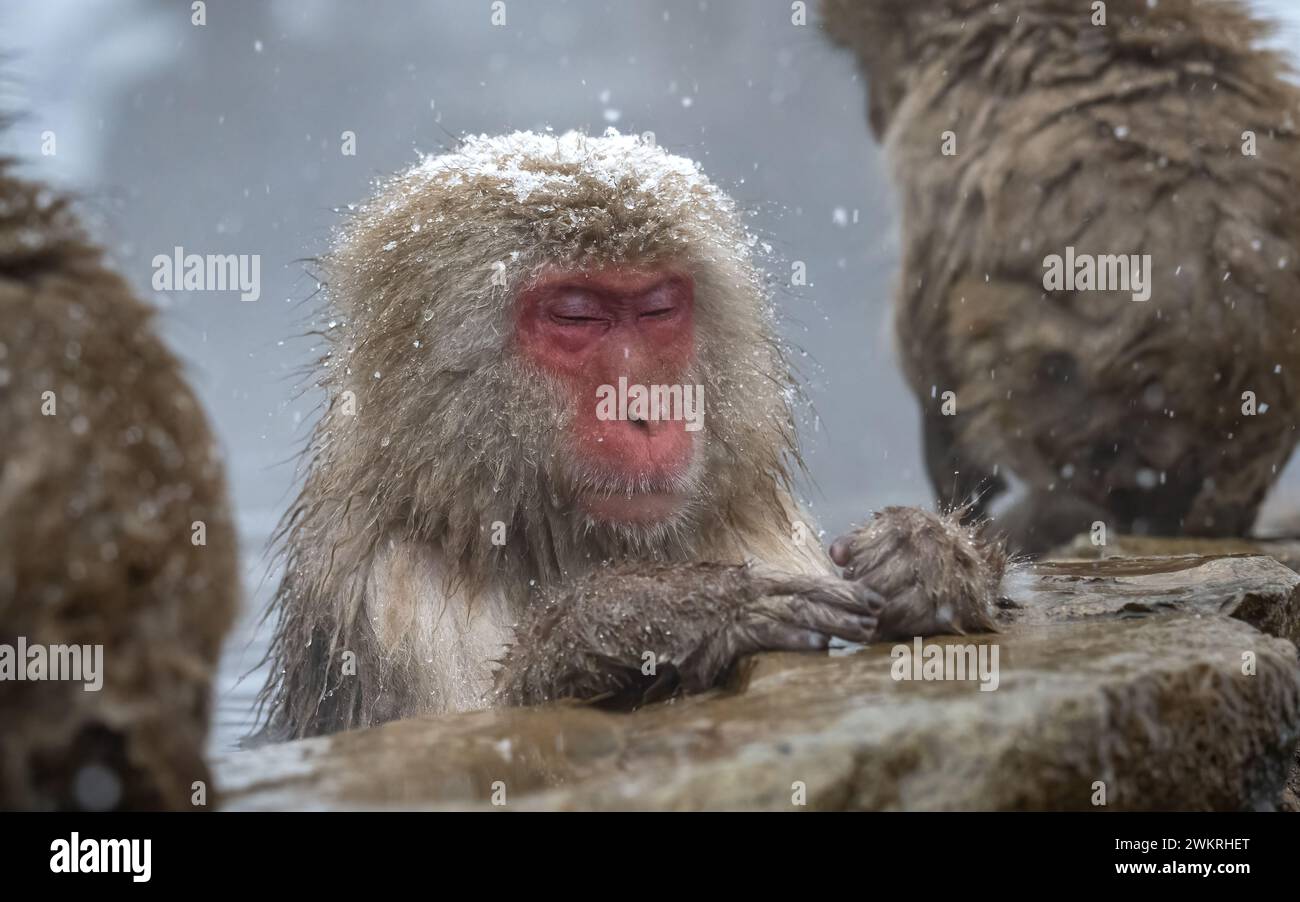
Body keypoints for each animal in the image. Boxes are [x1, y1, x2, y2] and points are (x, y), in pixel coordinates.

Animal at [259, 130, 1004, 739]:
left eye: (657, 309)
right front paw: (660, 613)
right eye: (575, 316)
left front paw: (926, 554)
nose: (645, 406)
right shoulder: (388, 591)